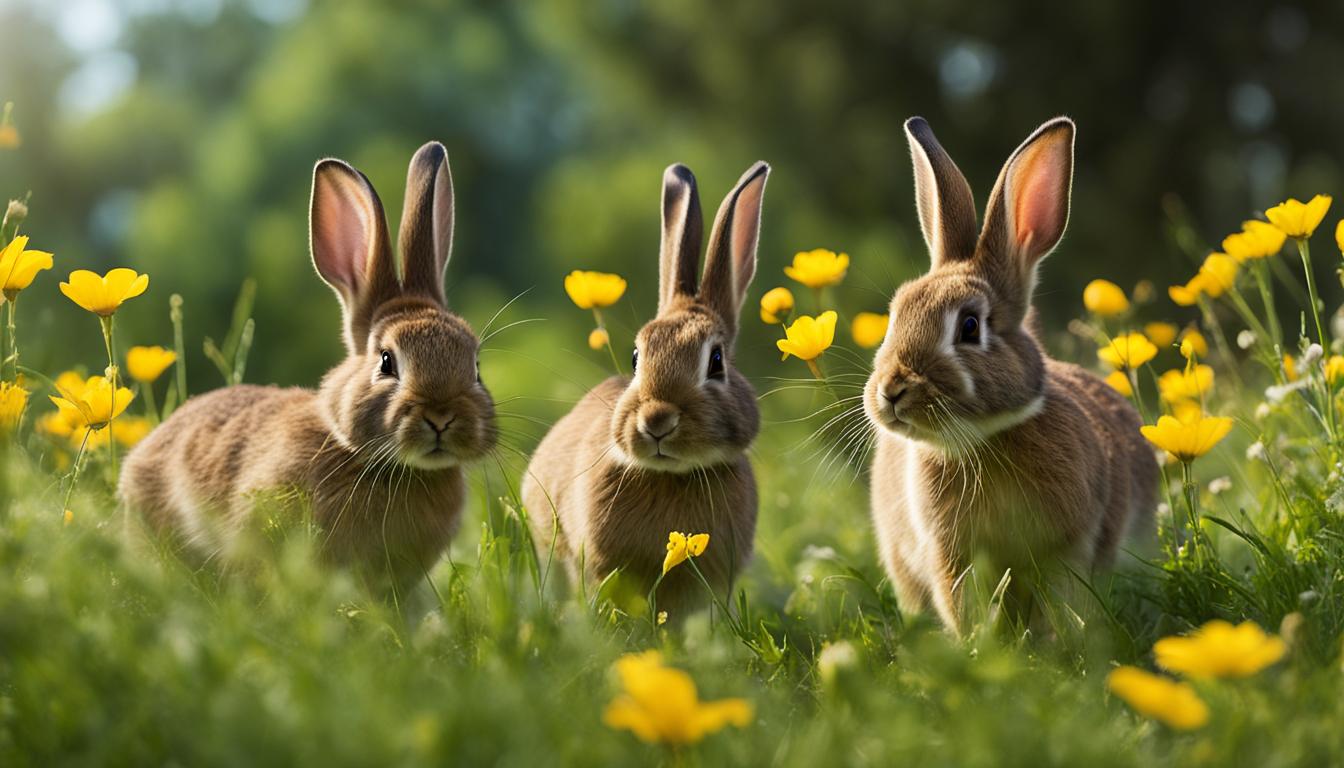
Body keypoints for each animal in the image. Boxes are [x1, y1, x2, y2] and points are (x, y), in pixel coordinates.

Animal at [864, 117, 1157, 634]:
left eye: (969, 326)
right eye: (896, 314)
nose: (891, 391)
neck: (984, 440)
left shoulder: (1068, 546)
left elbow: (1063, 600)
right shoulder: (949, 556)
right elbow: (962, 602)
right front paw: (978, 643)